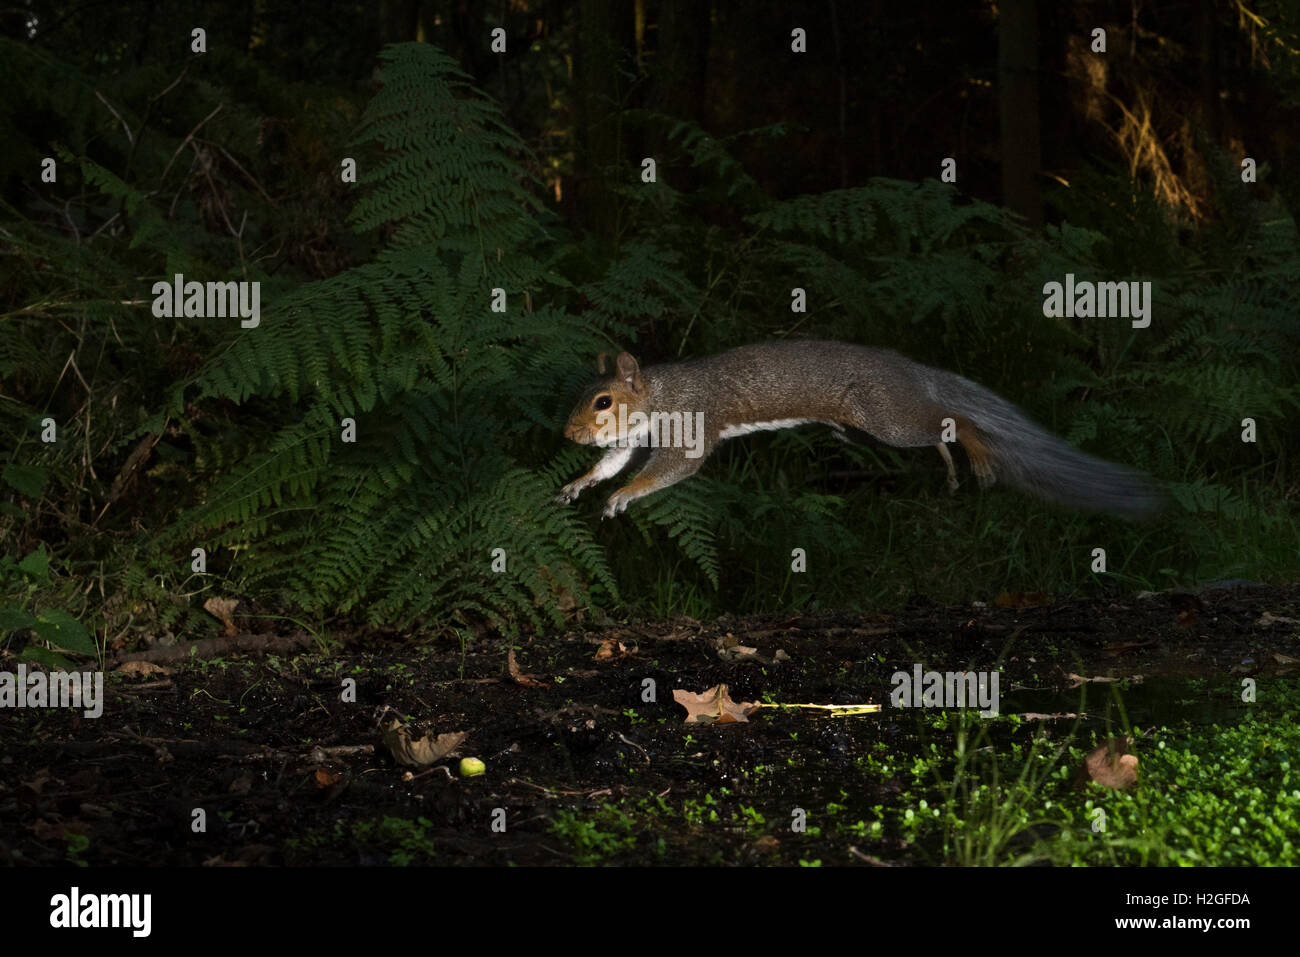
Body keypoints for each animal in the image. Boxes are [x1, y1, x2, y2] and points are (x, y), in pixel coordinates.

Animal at [556, 341, 1162, 520]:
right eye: (582, 393)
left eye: (603, 401)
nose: (568, 435)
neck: (659, 396)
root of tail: (909, 370)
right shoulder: (633, 439)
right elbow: (613, 460)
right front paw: (581, 483)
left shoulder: (692, 421)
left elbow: (671, 468)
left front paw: (623, 495)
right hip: (873, 429)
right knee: (937, 430)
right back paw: (951, 468)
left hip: (884, 418)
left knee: (955, 420)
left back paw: (976, 452)